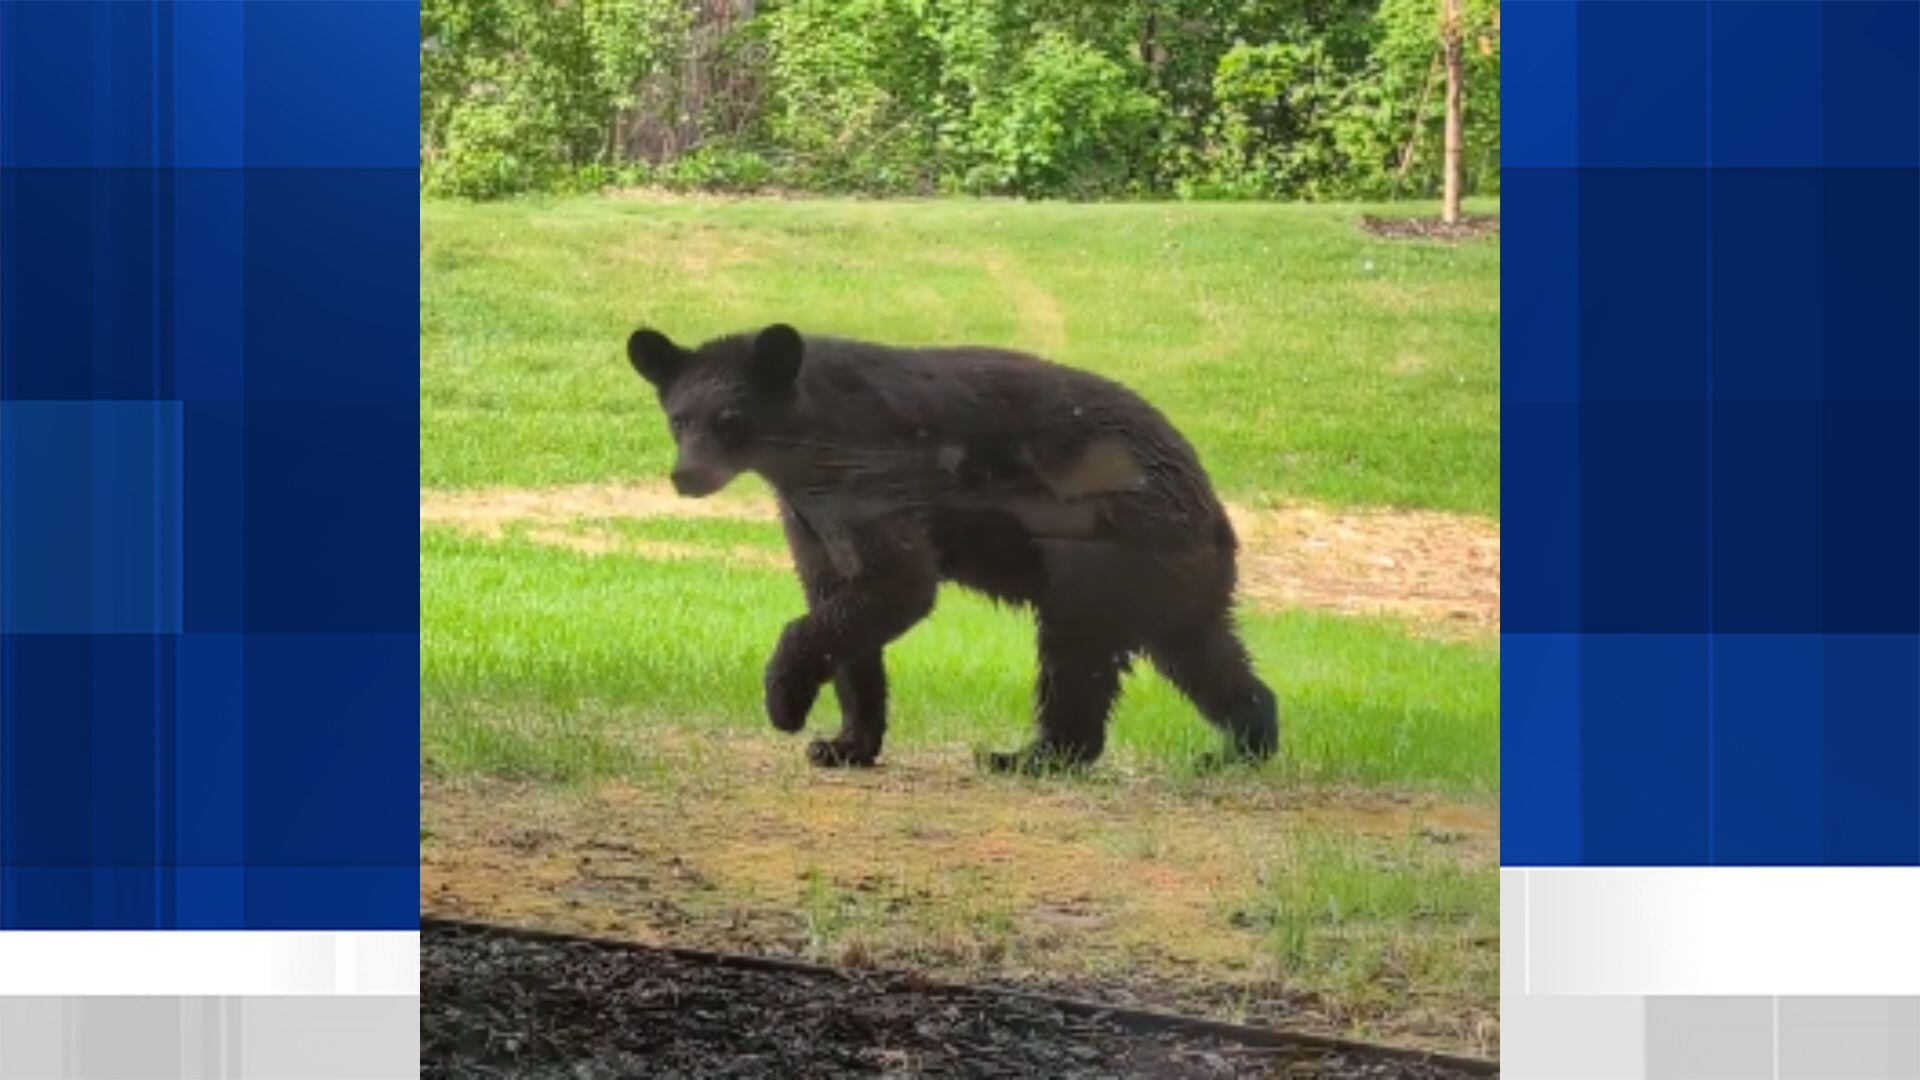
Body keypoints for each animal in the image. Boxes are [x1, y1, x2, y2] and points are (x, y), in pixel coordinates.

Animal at [626, 323, 1278, 773]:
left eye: (730, 418)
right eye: (678, 418)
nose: (686, 475)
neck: (804, 446)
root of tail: (1210, 500)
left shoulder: (867, 472)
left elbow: (898, 582)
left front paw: (786, 700)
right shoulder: (808, 514)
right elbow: (843, 604)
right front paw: (845, 743)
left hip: (1104, 546)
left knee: (1075, 655)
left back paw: (1032, 756)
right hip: (1169, 579)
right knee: (1203, 653)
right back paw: (1244, 743)